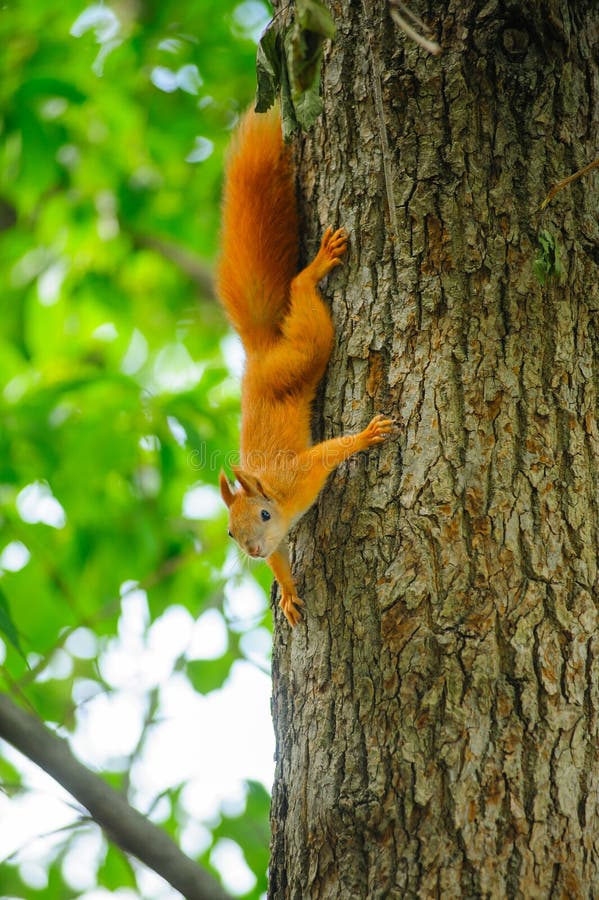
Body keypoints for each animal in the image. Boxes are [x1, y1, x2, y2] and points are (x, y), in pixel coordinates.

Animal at [216, 106, 392, 626]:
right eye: (230, 533)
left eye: (263, 515)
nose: (251, 550)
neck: (279, 500)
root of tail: (259, 353)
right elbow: (280, 559)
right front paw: (288, 591)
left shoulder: (301, 477)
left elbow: (331, 453)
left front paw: (366, 436)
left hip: (308, 350)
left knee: (301, 294)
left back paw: (314, 268)